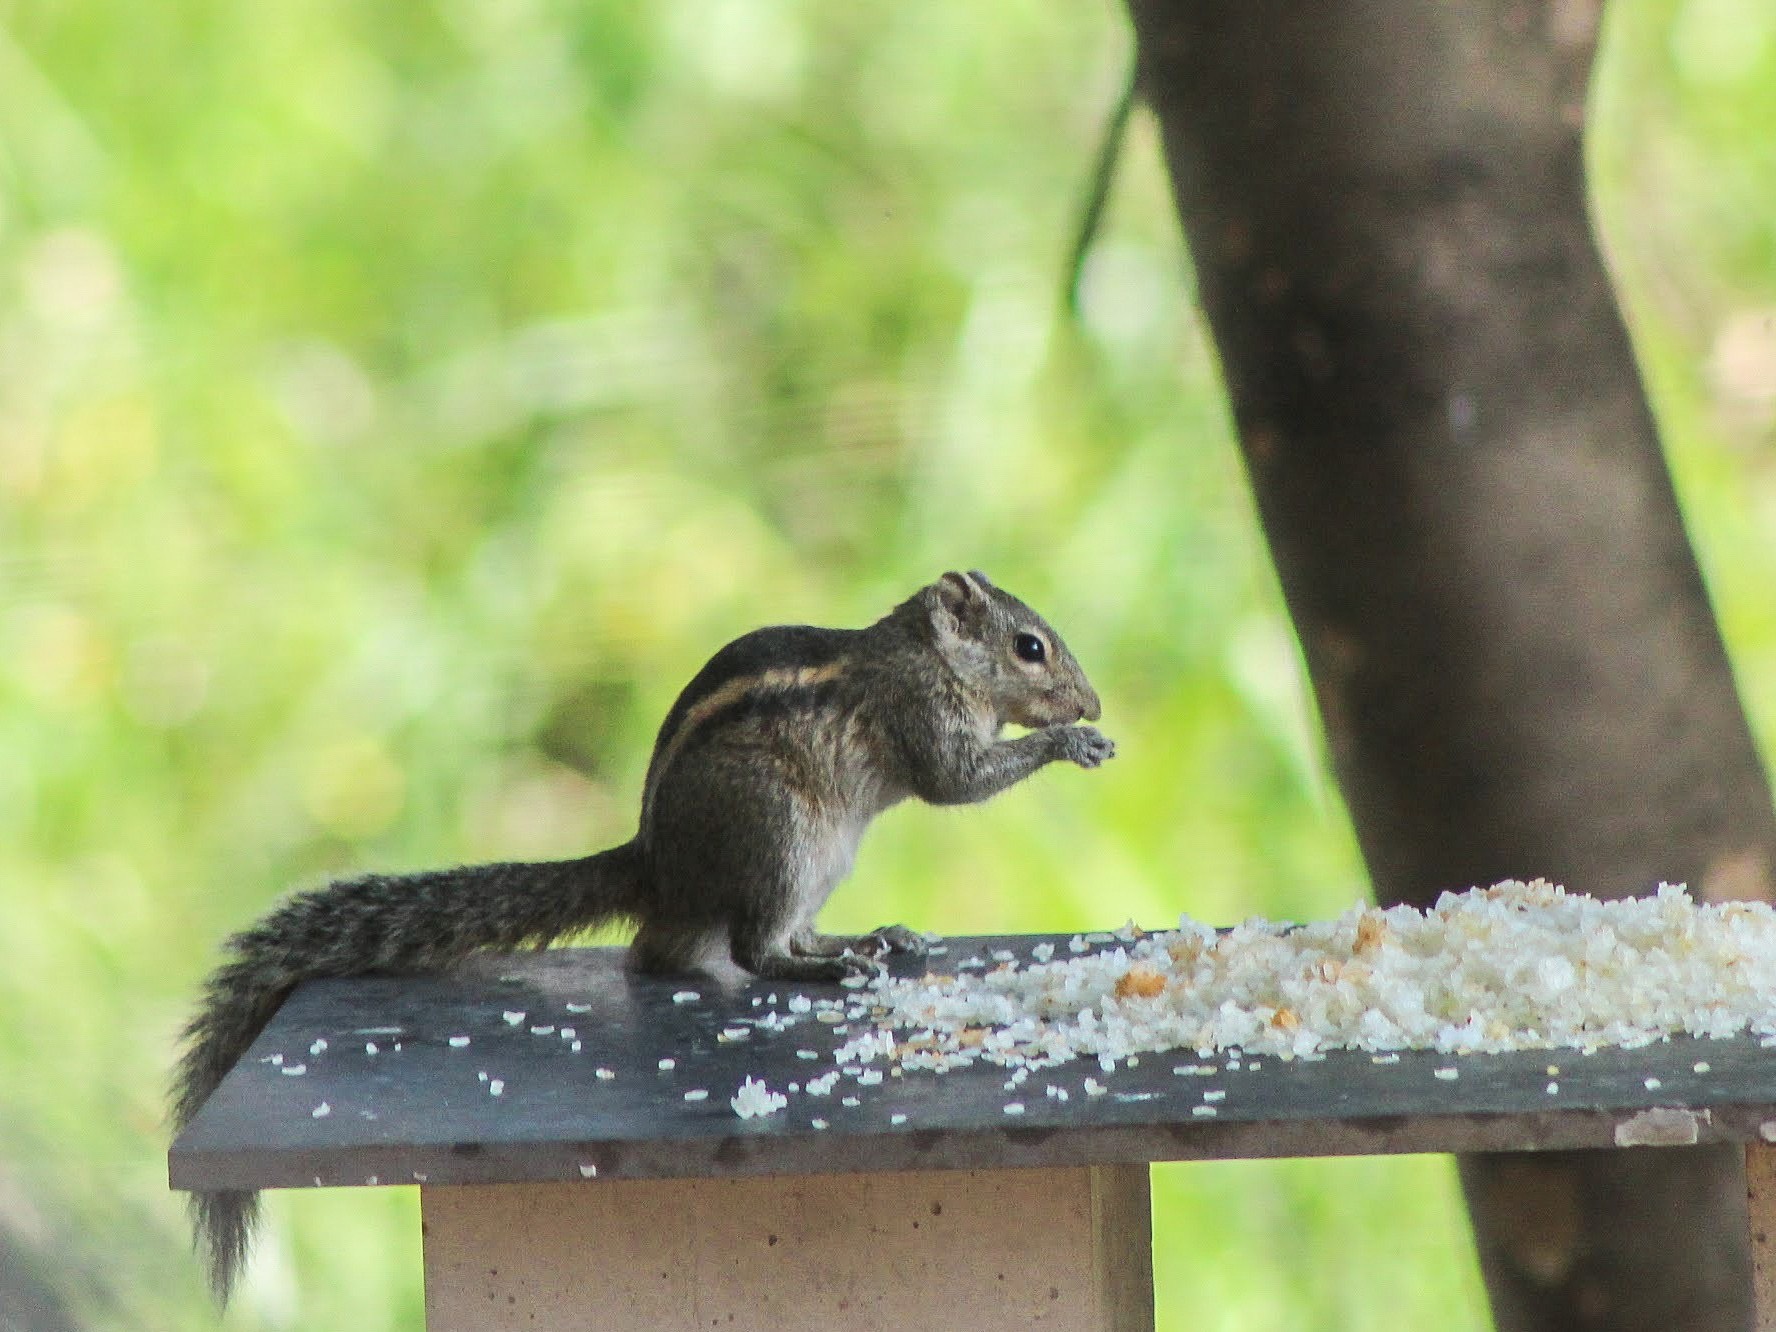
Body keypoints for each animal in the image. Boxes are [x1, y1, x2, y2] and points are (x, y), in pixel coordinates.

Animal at [166, 571, 1108, 1307]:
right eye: (1030, 647)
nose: (1092, 701)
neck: (929, 658)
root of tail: (656, 866)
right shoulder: (921, 717)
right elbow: (957, 782)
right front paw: (1071, 740)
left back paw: (872, 940)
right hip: (781, 835)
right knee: (743, 950)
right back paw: (827, 967)